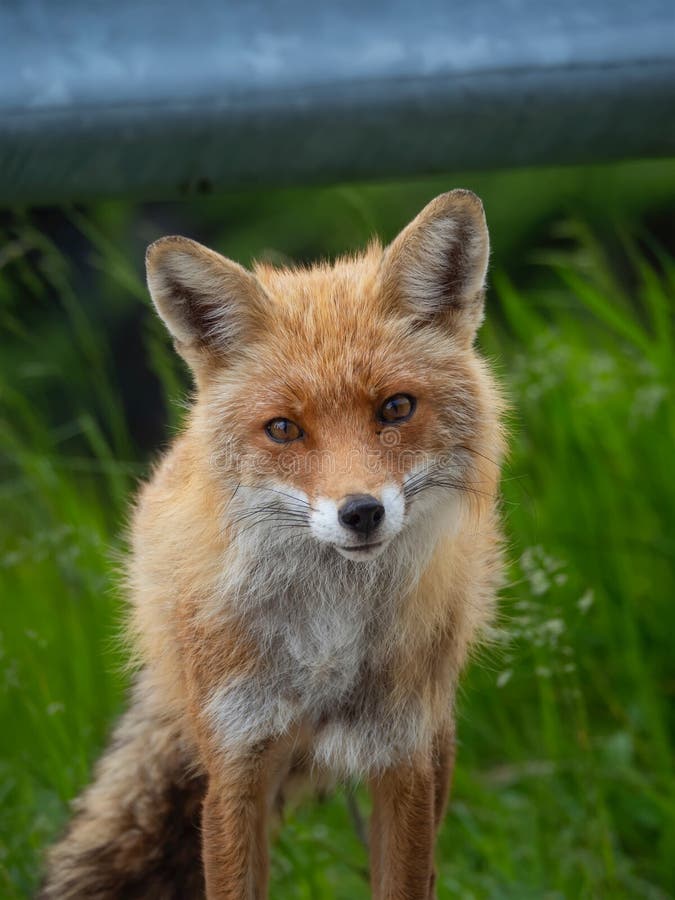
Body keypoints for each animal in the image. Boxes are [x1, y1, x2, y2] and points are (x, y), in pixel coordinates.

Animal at [41, 189, 505, 899]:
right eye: (283, 429)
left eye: (396, 408)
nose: (361, 513)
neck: (327, 640)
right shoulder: (236, 769)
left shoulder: (403, 762)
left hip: (437, 743)